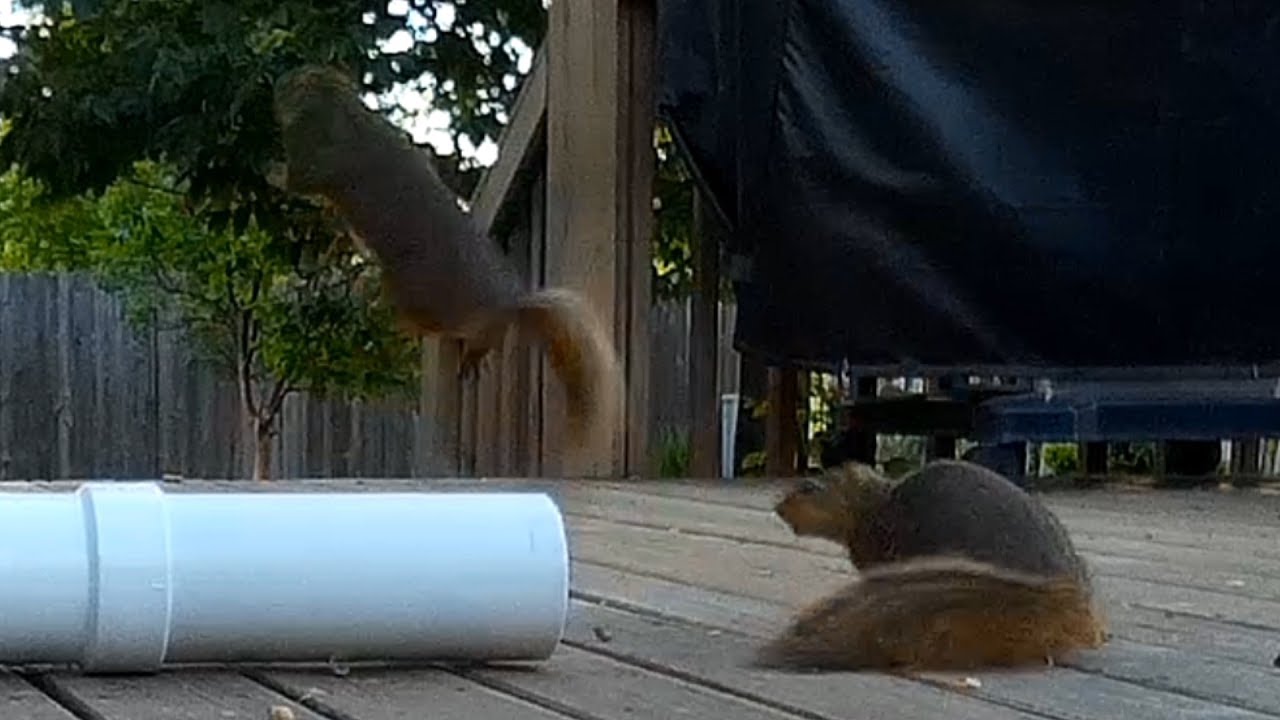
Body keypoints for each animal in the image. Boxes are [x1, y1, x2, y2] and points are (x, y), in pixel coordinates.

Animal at [269, 64, 622, 450]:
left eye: (295, 82)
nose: (277, 89)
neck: (344, 108)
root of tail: (507, 302)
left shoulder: (316, 151)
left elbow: (300, 180)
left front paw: (270, 169)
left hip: (415, 292)